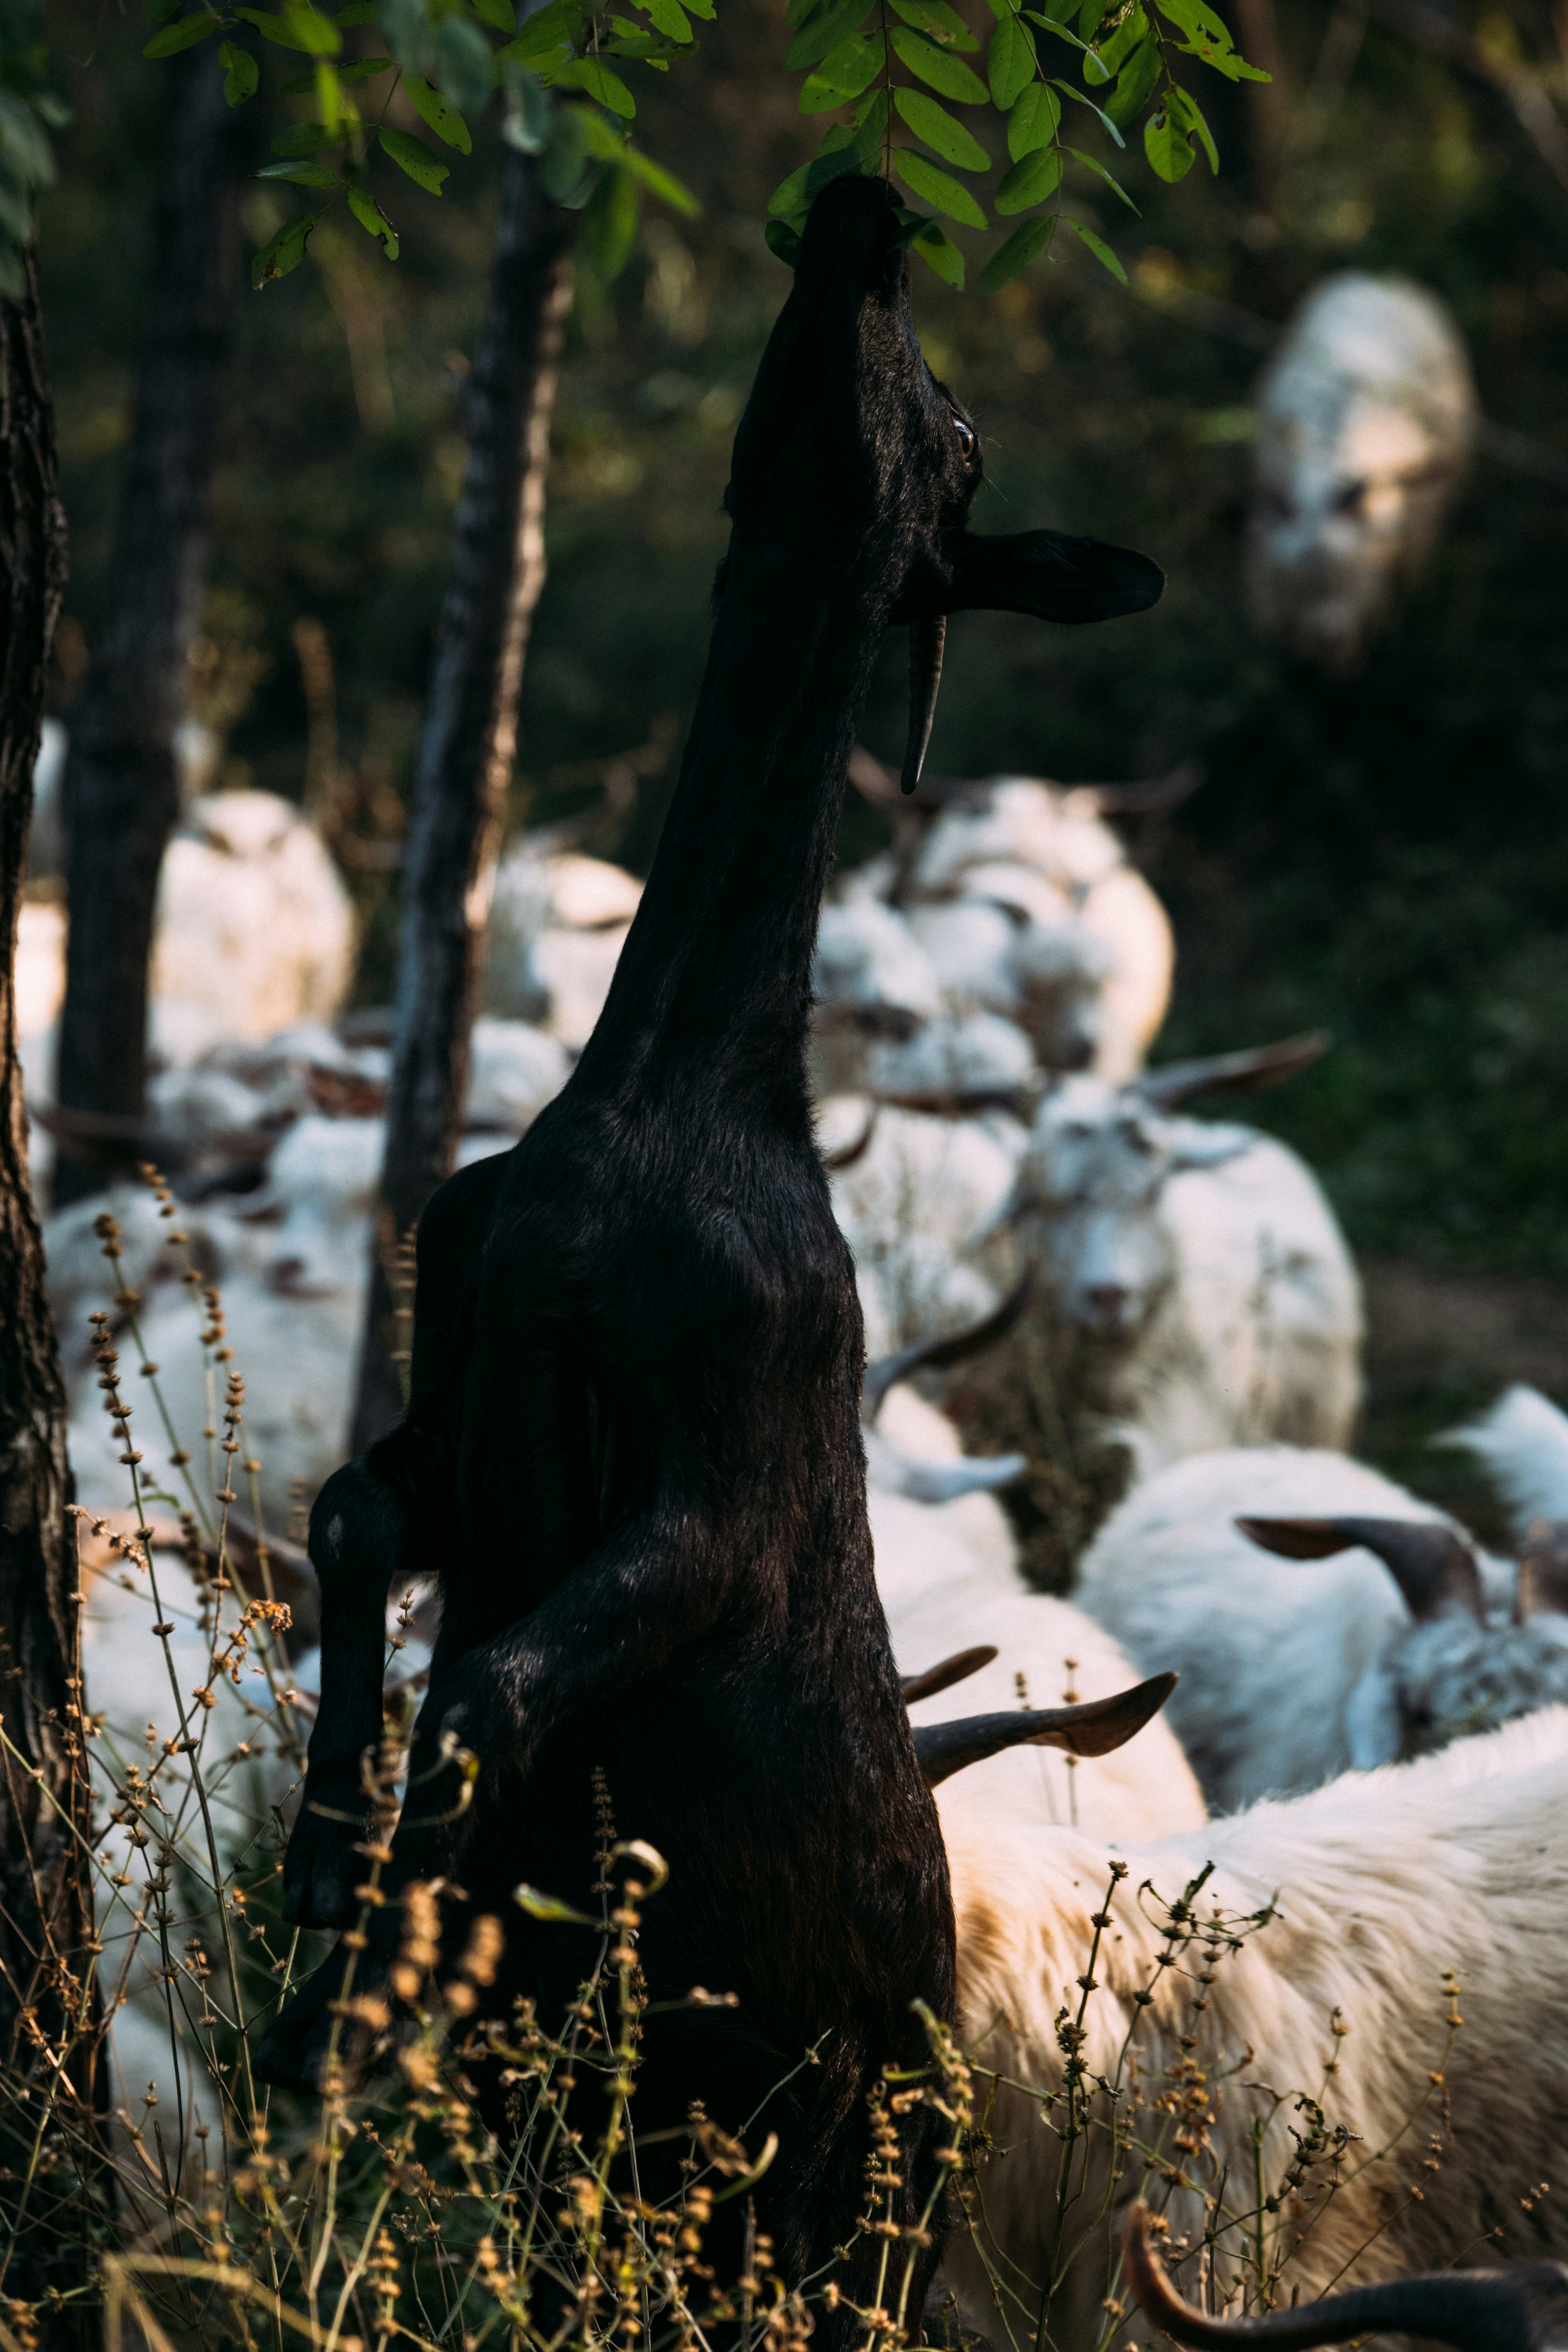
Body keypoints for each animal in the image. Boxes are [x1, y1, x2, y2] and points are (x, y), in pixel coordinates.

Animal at [258, 173, 1162, 2325]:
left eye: (955, 433)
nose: (873, 203)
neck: (658, 1080)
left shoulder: (722, 1481)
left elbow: (489, 1691)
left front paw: (361, 2013)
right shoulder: (452, 1374)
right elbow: (350, 1520)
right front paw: (319, 1908)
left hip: (845, 2220)